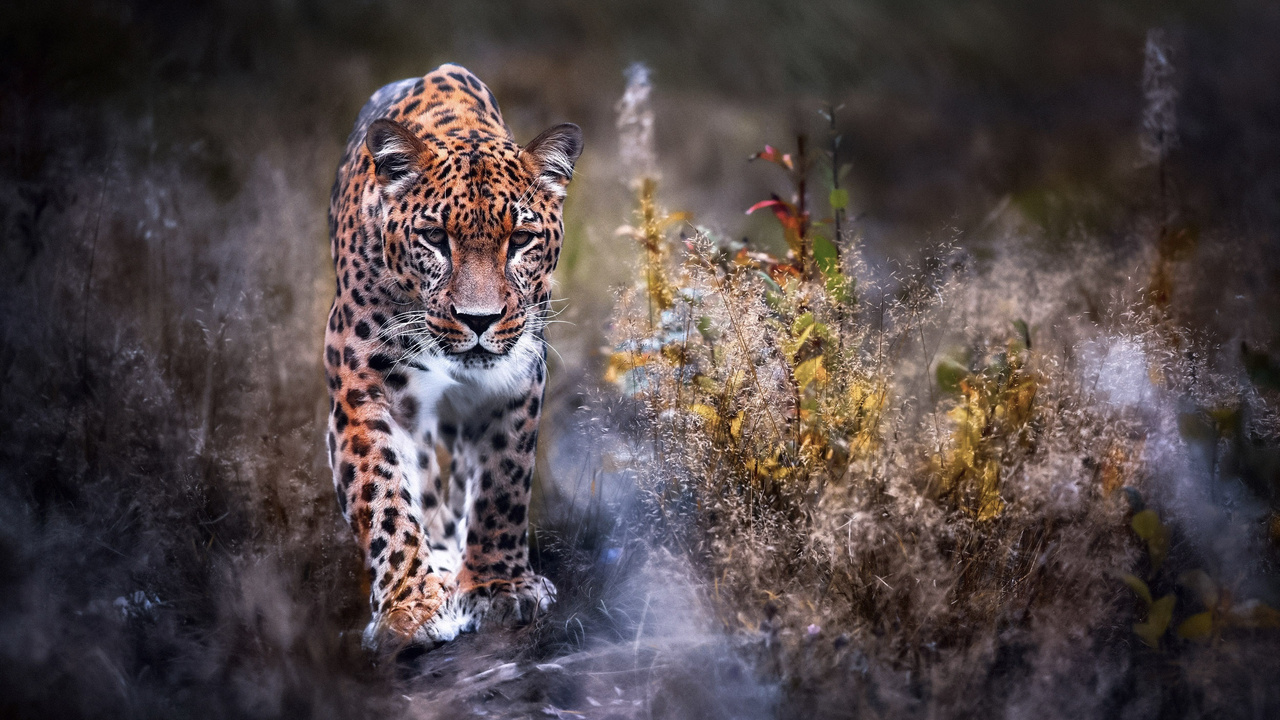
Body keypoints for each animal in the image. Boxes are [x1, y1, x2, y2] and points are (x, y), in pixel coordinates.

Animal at [323, 64, 582, 652]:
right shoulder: (361, 388)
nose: (479, 320)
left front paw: (497, 586)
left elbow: (503, 482)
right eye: (435, 237)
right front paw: (410, 606)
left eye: (521, 239)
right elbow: (383, 496)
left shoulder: (516, 379)